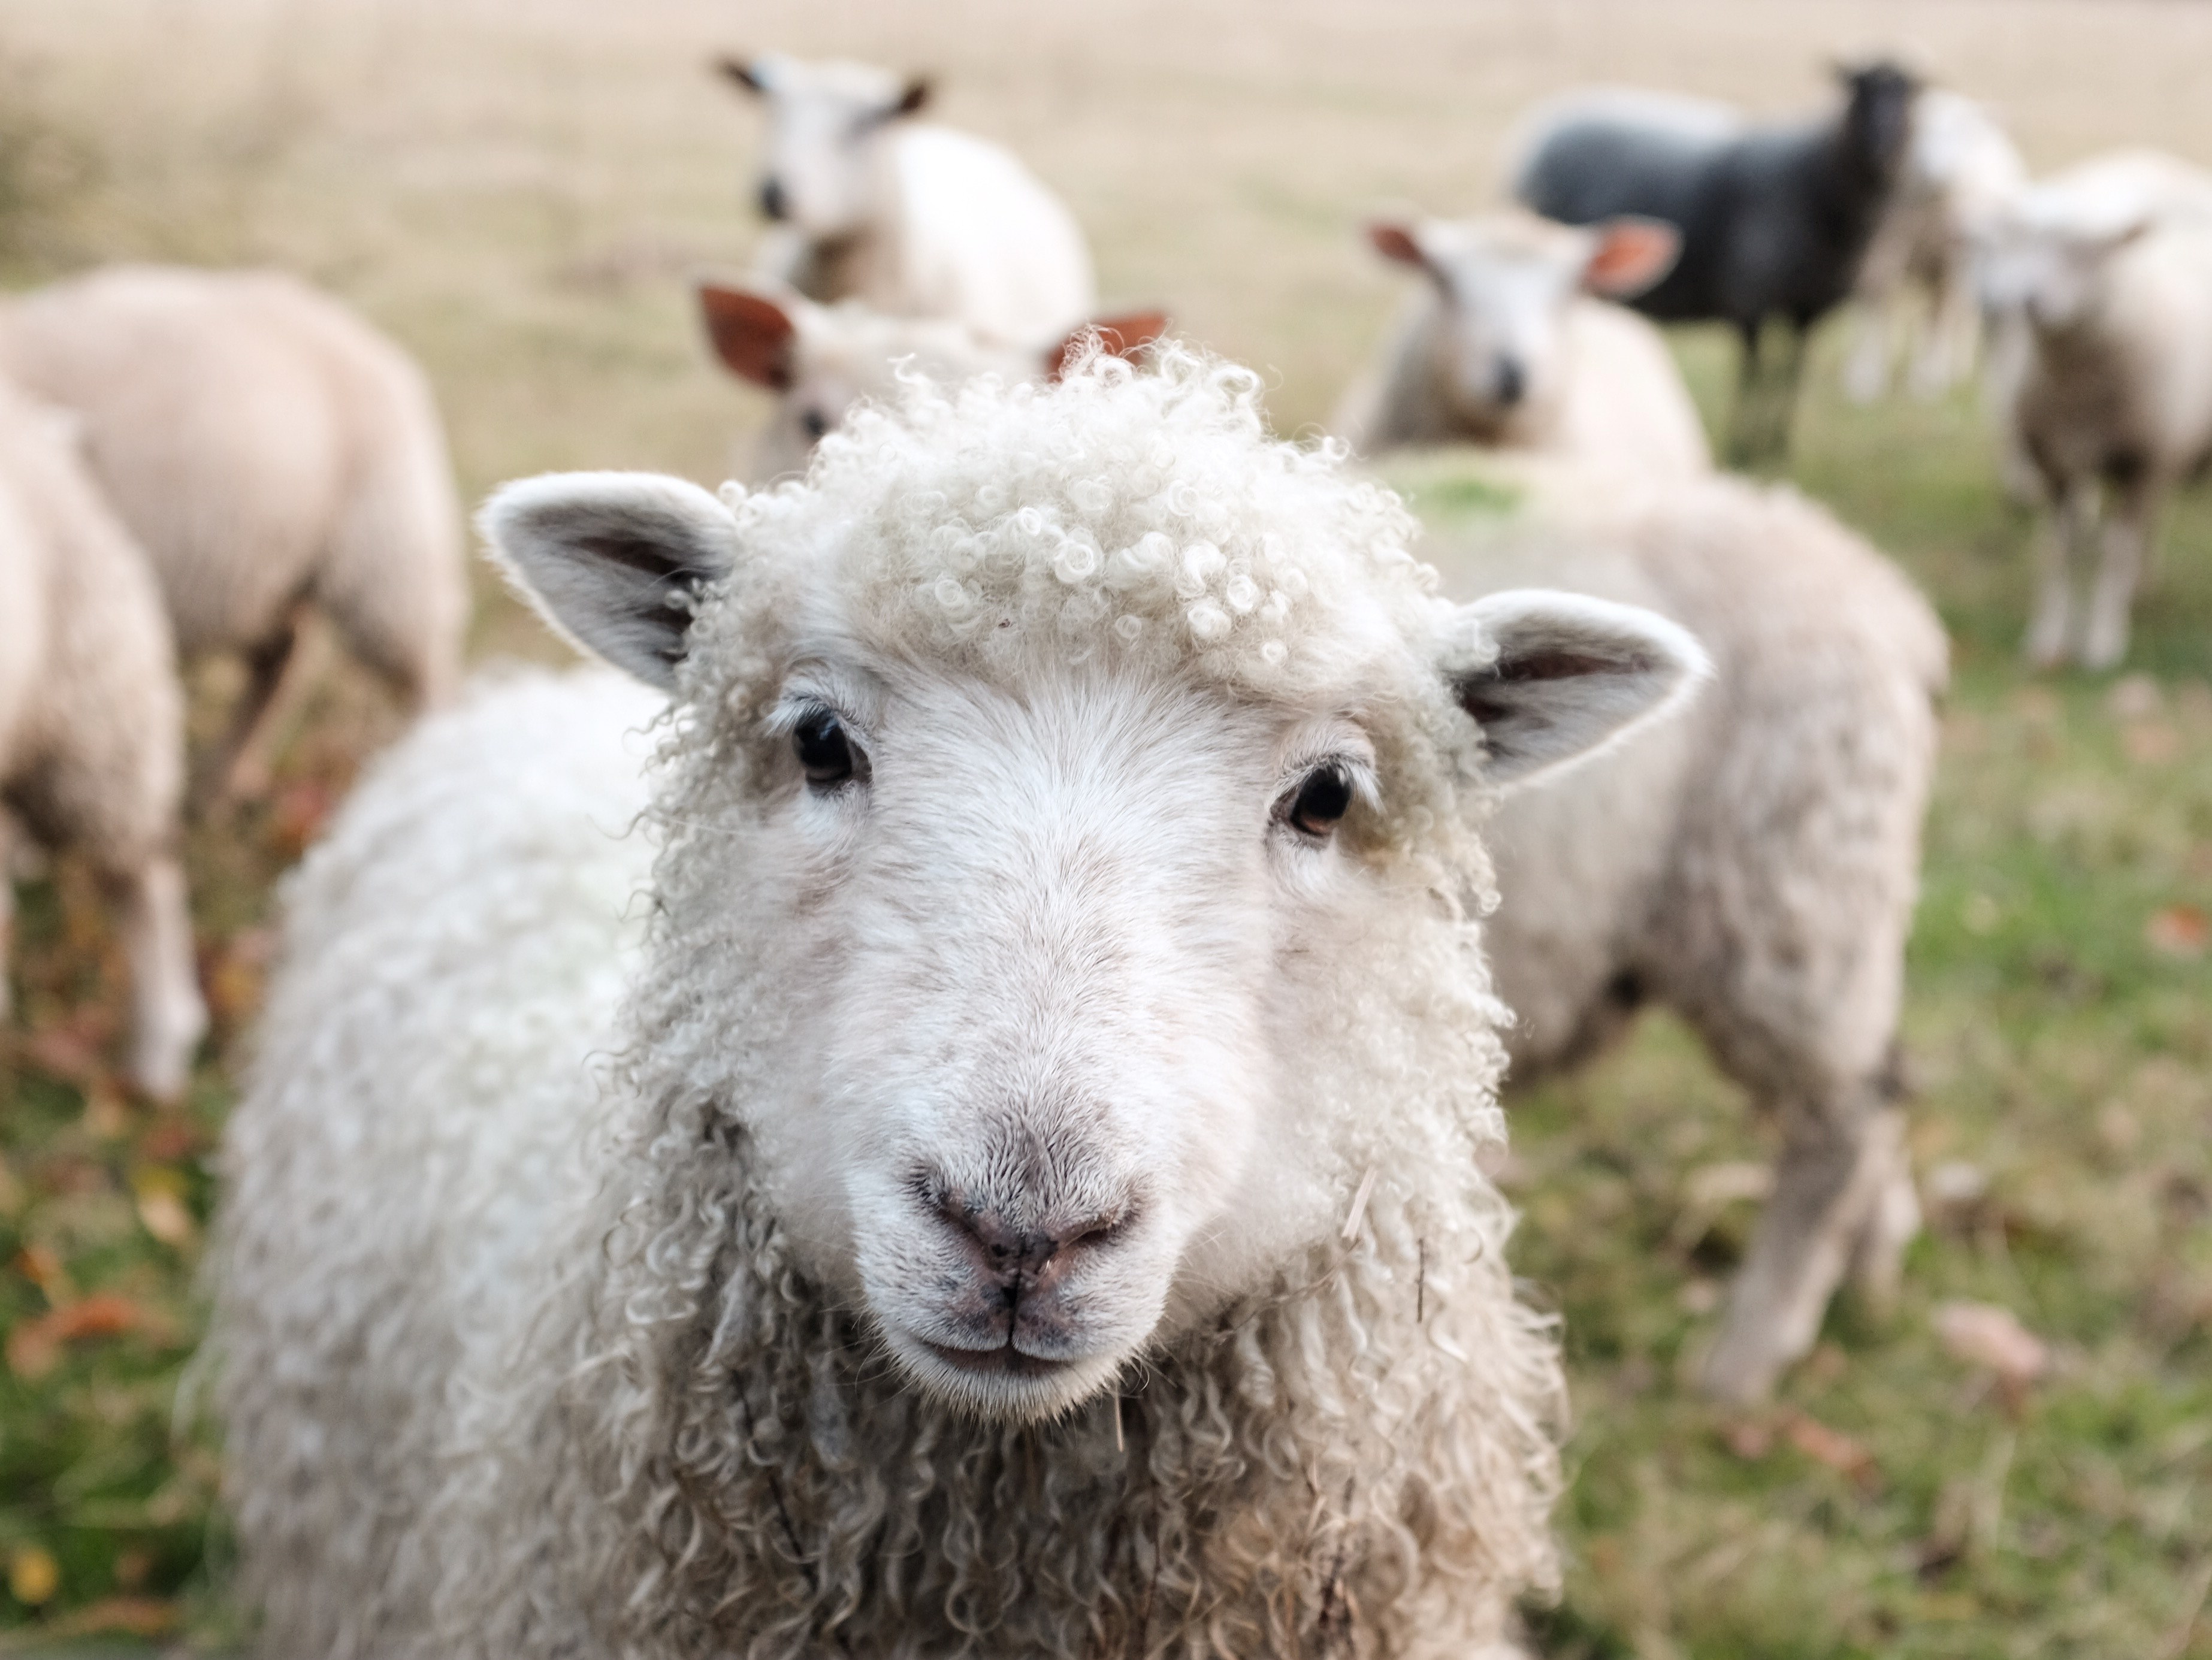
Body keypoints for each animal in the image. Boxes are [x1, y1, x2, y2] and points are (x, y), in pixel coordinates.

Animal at [0, 265, 467, 799]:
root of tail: (371, 342)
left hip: (388, 551)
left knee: (427, 667)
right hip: (270, 569)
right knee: (280, 660)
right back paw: (227, 777)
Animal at [1406, 453, 1947, 1402]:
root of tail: (1890, 599)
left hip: (1787, 894)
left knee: (1848, 1115)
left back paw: (1748, 1355)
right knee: (1877, 1085)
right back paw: (1872, 1266)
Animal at [1514, 62, 1920, 462]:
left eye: (1909, 93)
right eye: (1860, 88)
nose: (1881, 143)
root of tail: (1543, 126)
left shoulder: (1807, 308)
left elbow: (1790, 374)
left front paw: (1777, 443)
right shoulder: (1751, 299)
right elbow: (1753, 374)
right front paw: (1744, 444)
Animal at [1842, 89, 2027, 403]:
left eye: (1964, 135)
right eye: (1922, 131)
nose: (1937, 169)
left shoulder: (1954, 262)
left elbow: (1944, 315)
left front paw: (1930, 381)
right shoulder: (1886, 243)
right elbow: (1878, 301)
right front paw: (1865, 379)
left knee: (1958, 313)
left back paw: (1952, 368)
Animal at [1974, 152, 2212, 669]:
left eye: (2090, 252)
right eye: (2026, 242)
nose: (2029, 301)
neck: (2077, 391)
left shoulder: (2140, 461)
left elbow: (2114, 554)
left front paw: (2104, 642)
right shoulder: (2054, 463)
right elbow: (2059, 552)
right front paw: (2047, 639)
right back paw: (2143, 586)